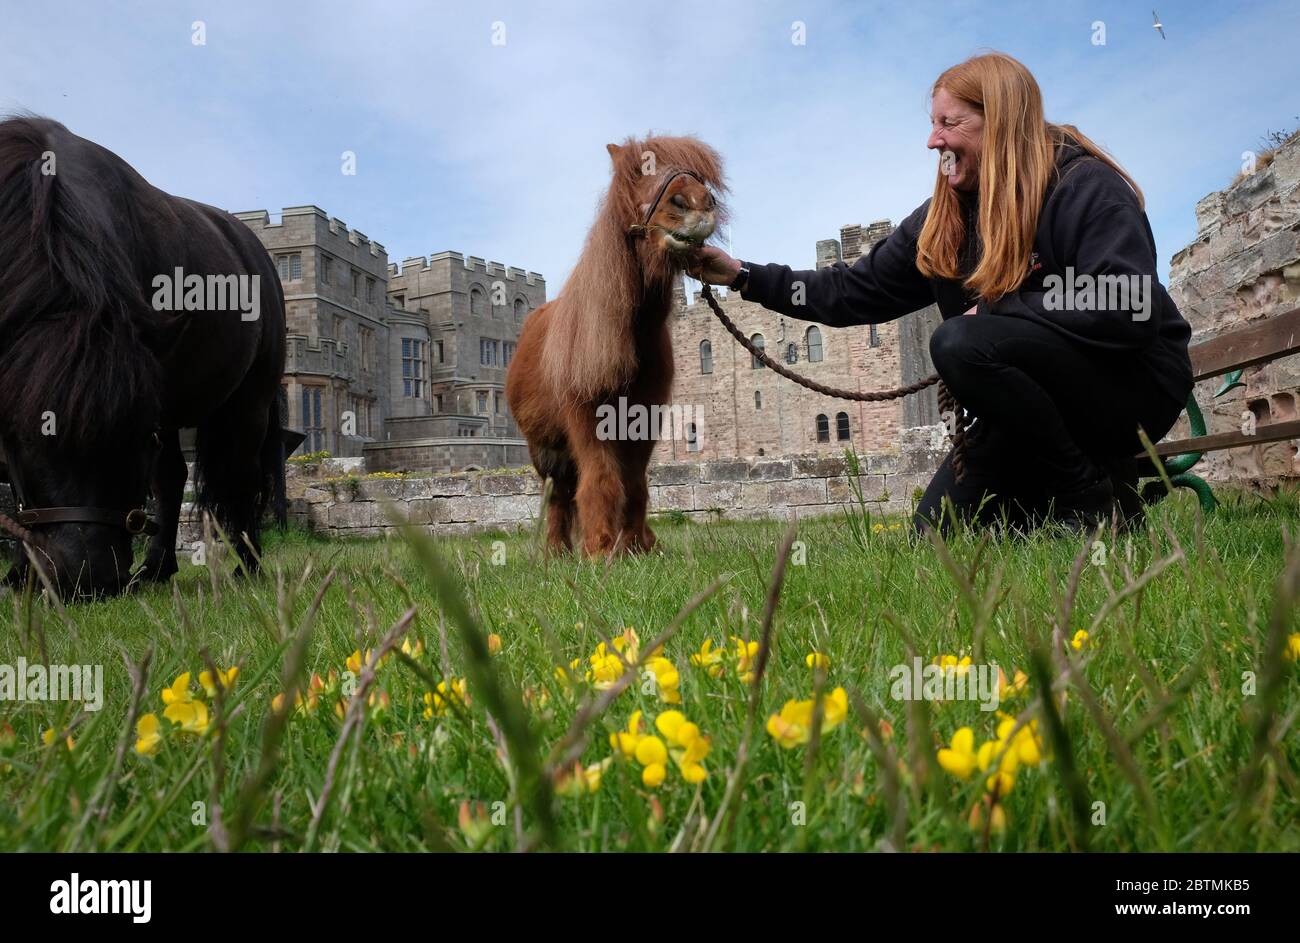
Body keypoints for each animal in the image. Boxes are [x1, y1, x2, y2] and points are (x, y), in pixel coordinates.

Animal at [0, 116, 287, 599]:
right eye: (20, 433)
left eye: (134, 436)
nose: (88, 577)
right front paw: (20, 574)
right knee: (174, 479)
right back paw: (156, 568)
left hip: (250, 403)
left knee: (240, 478)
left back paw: (244, 566)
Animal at [505, 135, 724, 557]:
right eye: (638, 173)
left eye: (700, 175)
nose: (696, 204)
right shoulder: (587, 417)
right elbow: (601, 479)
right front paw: (601, 550)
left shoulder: (644, 418)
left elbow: (635, 483)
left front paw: (637, 545)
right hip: (545, 449)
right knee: (557, 495)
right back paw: (556, 553)